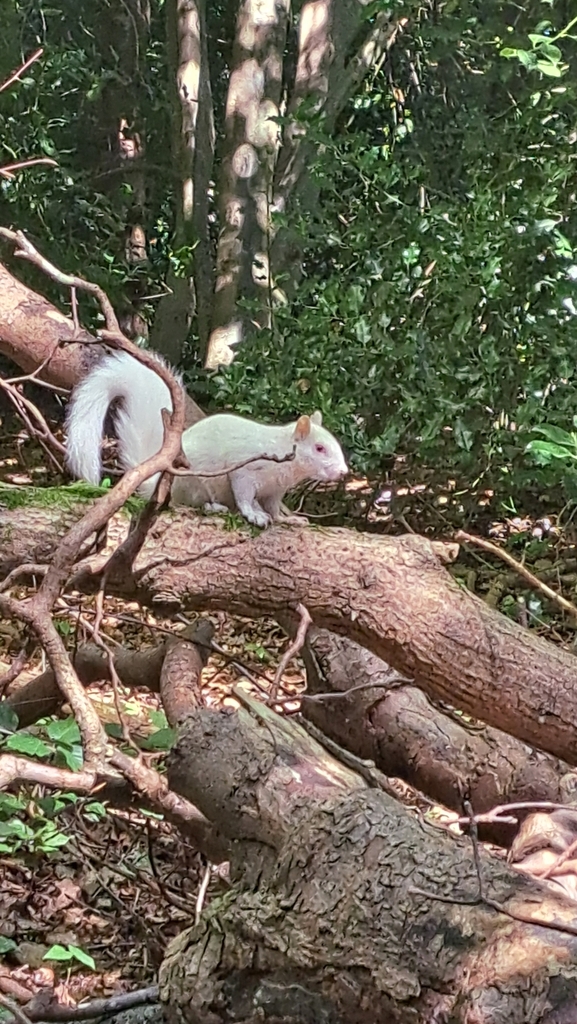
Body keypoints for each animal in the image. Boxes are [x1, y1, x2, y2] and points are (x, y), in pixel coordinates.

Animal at [65, 350, 348, 527]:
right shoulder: (246, 469)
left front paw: (288, 519)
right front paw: (253, 515)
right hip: (193, 482)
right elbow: (244, 495)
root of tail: (157, 481)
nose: (343, 472)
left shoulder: (275, 491)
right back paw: (215, 508)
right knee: (184, 503)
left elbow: (274, 508)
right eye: (319, 448)